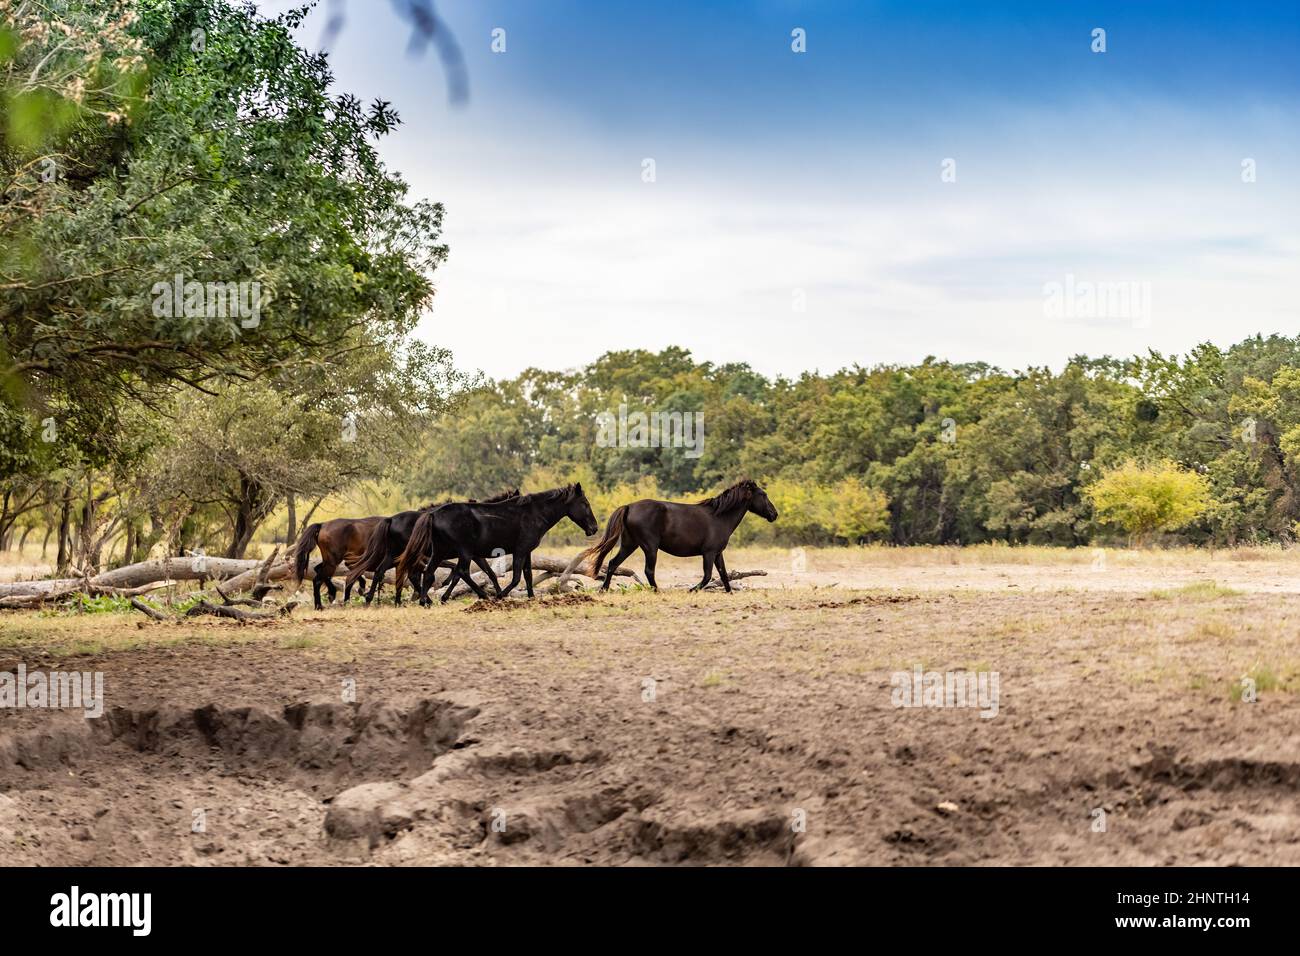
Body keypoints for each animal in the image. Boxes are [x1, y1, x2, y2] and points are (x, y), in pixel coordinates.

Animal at [347, 489, 520, 606]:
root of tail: (391, 519)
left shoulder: (471, 555)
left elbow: (486, 573)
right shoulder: (471, 555)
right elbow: (468, 573)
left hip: (394, 555)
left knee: (381, 572)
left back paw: (373, 599)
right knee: (404, 574)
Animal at [397, 483, 599, 606]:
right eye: (584, 503)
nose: (594, 528)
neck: (534, 513)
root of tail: (433, 514)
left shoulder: (527, 552)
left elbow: (527, 575)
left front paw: (531, 598)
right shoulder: (520, 550)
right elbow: (516, 577)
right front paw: (500, 596)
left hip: (440, 552)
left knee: (429, 573)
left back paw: (426, 601)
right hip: (463, 552)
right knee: (458, 572)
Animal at [580, 479, 777, 592]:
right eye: (763, 494)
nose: (774, 514)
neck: (719, 517)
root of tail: (629, 506)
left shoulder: (717, 553)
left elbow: (723, 575)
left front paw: (729, 592)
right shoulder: (709, 553)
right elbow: (707, 576)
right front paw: (691, 590)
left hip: (630, 544)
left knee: (613, 563)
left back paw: (604, 589)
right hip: (650, 547)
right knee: (648, 570)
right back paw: (657, 591)